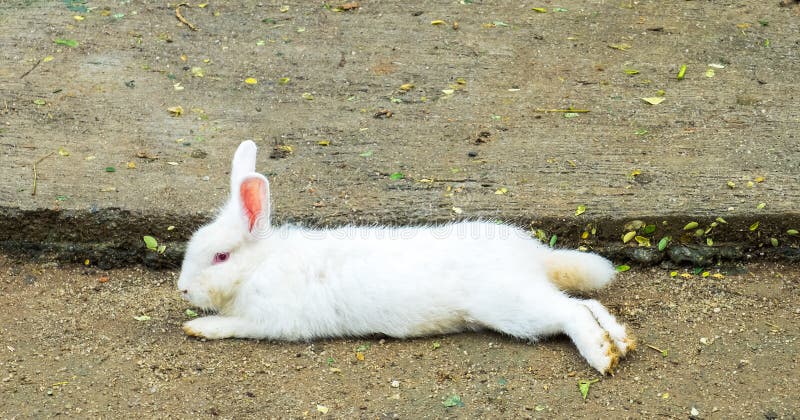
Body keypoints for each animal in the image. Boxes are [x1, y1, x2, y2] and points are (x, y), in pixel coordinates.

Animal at [178, 140, 635, 374]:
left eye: (220, 257)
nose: (182, 289)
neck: (260, 265)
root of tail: (535, 257)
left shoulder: (273, 320)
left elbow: (233, 325)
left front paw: (197, 327)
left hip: (511, 305)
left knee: (571, 313)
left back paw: (602, 357)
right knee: (587, 304)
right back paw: (621, 342)